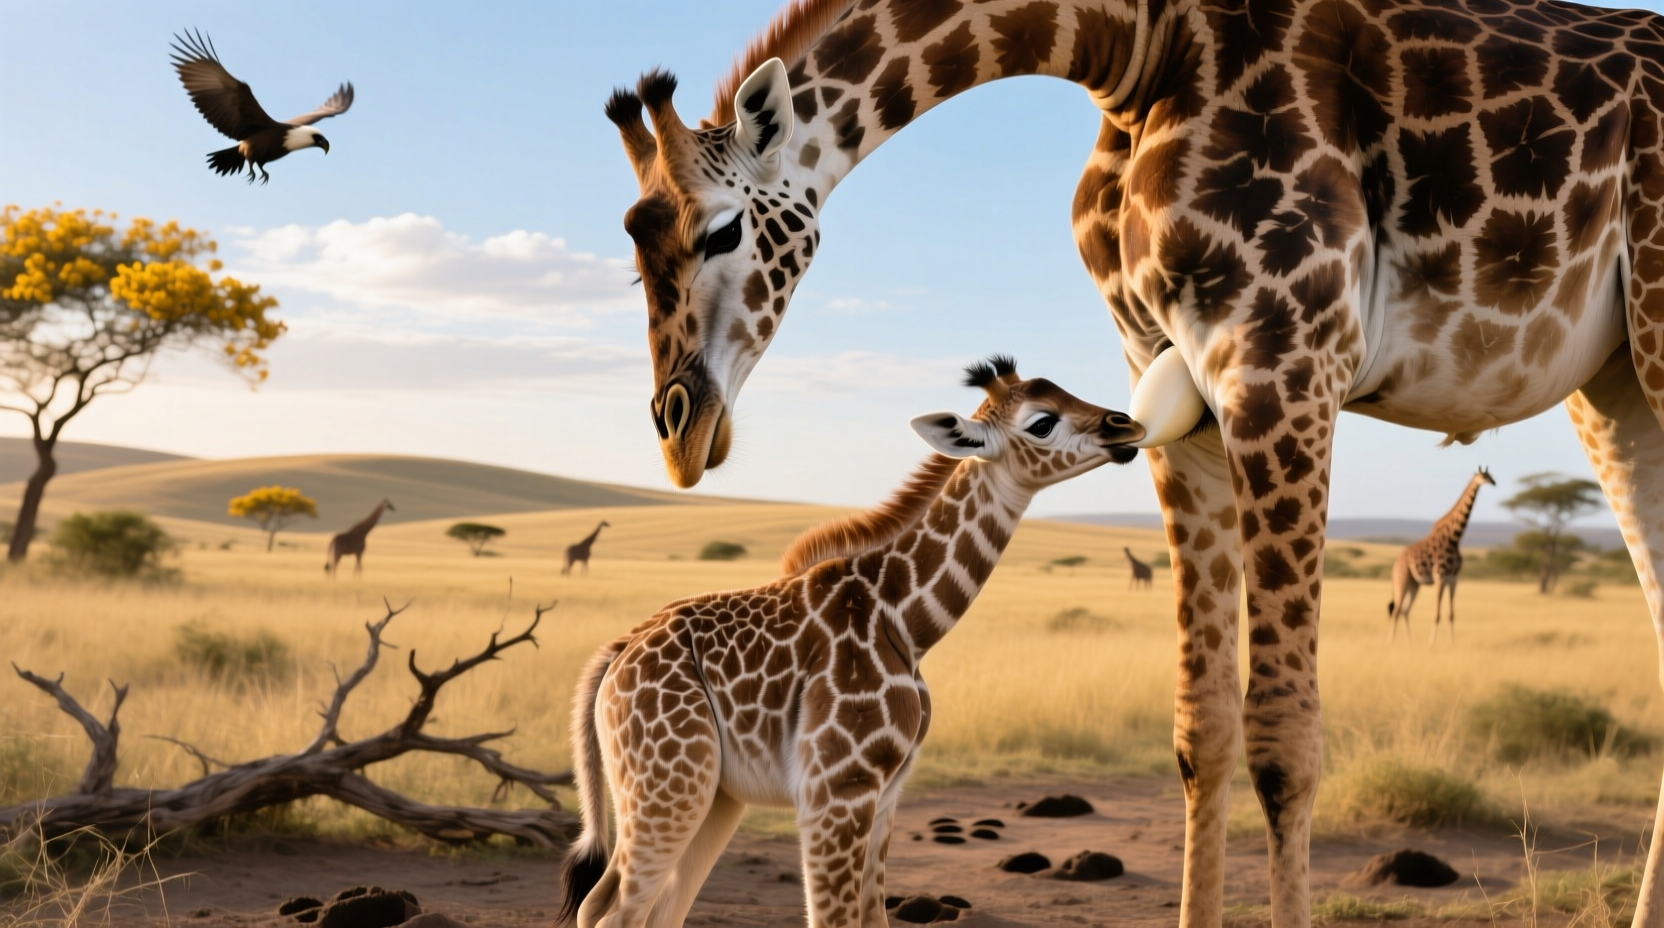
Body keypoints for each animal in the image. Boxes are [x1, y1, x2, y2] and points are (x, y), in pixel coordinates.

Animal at [558, 358, 1142, 928]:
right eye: (1042, 422)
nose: (1127, 426)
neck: (907, 622)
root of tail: (617, 652)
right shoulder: (835, 789)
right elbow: (833, 918)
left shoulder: (886, 793)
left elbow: (873, 915)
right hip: (668, 786)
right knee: (614, 911)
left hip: (709, 794)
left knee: (634, 906)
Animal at [1387, 467, 1496, 643]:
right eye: (1483, 476)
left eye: (1491, 475)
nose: (1494, 482)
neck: (1454, 538)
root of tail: (1396, 562)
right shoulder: (1439, 576)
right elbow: (1436, 614)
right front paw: (1431, 643)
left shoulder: (1453, 578)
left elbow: (1451, 614)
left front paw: (1452, 643)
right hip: (1401, 579)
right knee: (1396, 610)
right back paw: (1390, 642)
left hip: (1414, 583)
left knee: (1405, 610)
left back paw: (1410, 641)